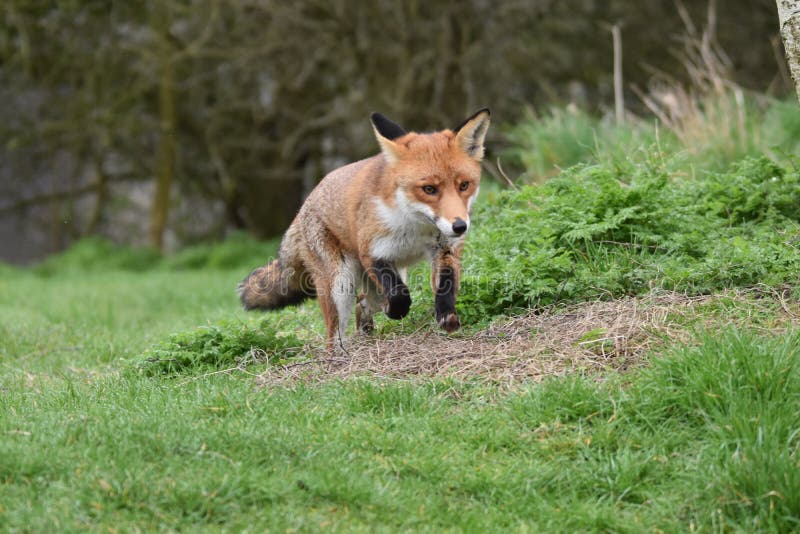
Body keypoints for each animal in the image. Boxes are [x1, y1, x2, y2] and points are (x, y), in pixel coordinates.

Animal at [238, 108, 491, 352]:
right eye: (429, 189)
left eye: (464, 185)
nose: (460, 226)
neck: (416, 227)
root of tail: (303, 207)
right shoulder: (372, 251)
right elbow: (399, 295)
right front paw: (397, 311)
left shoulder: (446, 249)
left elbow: (445, 286)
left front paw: (446, 316)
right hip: (340, 284)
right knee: (334, 334)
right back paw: (339, 355)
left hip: (379, 280)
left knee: (364, 302)